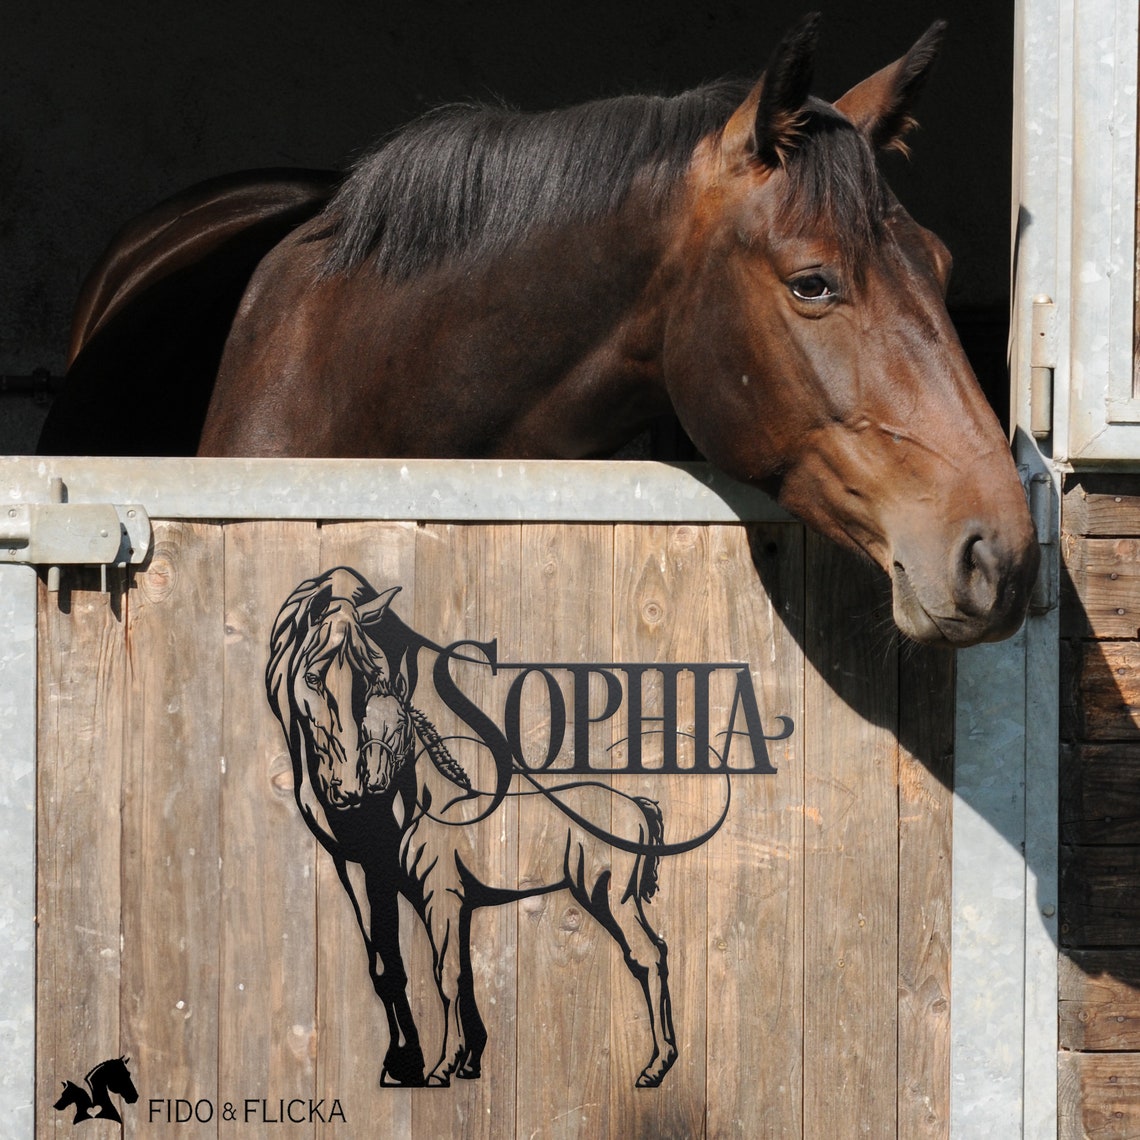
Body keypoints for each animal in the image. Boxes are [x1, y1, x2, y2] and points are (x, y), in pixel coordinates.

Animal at [267, 567, 679, 1088]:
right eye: (367, 723)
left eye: (397, 725)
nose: (364, 786)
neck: (431, 804)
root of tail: (637, 807)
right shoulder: (435, 897)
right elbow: (448, 972)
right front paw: (461, 1063)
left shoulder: (440, 893)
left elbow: (444, 974)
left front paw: (442, 1068)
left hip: (611, 897)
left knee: (647, 957)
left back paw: (655, 1068)